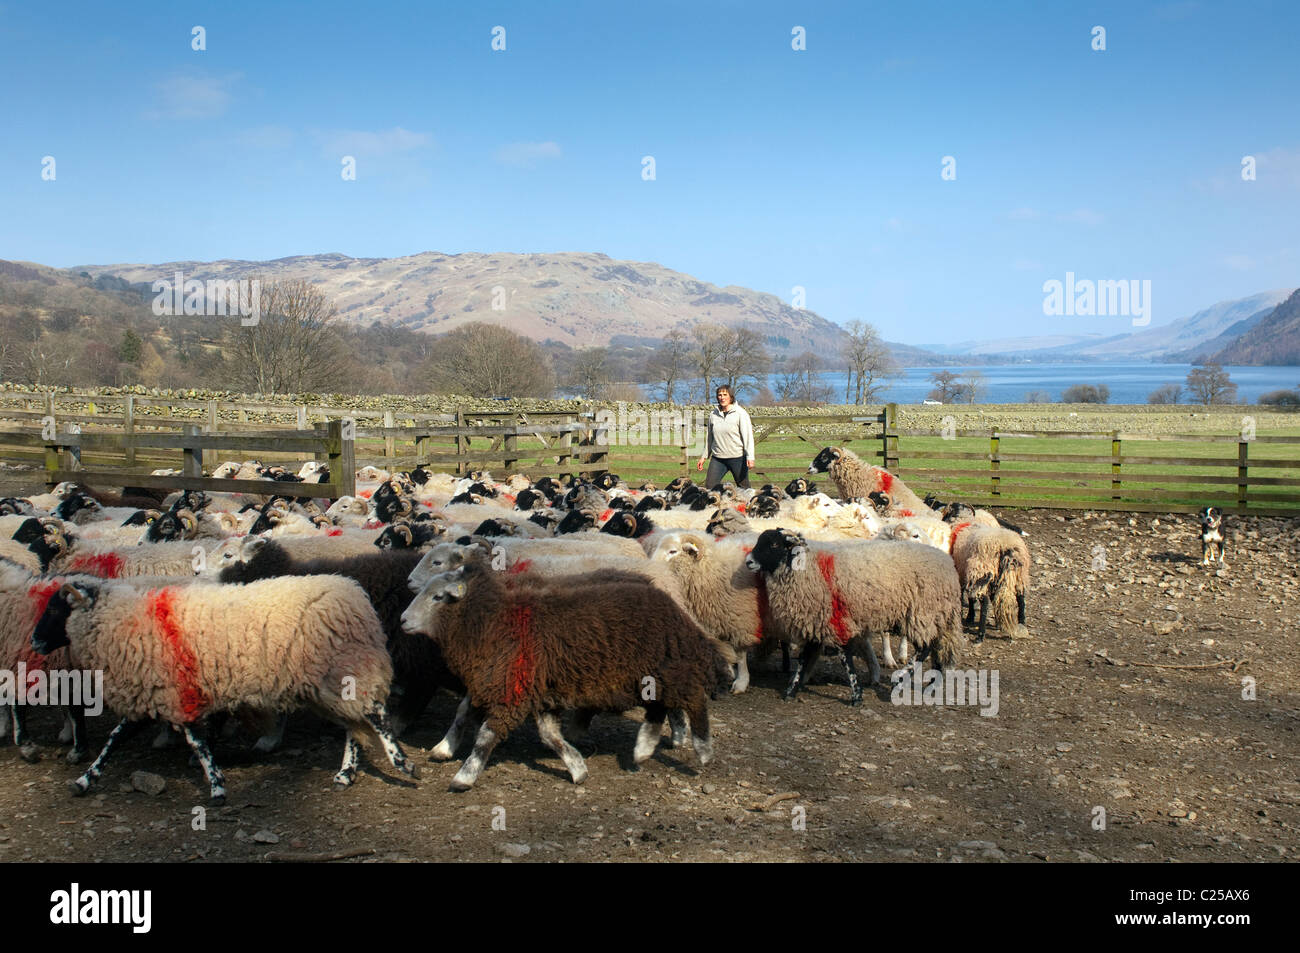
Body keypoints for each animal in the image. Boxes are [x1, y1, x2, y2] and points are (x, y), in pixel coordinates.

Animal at [31, 573, 420, 801]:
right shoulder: (156, 693)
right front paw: (86, 779)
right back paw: (345, 773)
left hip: (342, 671)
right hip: (331, 681)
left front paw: (216, 784)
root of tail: (355, 594)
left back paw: (402, 763)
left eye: (56, 610)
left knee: (374, 714)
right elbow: (115, 739)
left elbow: (196, 742)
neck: (124, 621)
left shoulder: (171, 694)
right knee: (355, 725)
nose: (34, 642)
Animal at [400, 561, 723, 790]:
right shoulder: (525, 688)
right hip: (652, 678)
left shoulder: (512, 692)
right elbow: (547, 735)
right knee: (658, 707)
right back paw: (643, 748)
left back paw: (703, 749)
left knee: (694, 700)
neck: (495, 623)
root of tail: (677, 612)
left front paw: (464, 776)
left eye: (438, 597)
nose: (402, 620)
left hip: (670, 671)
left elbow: (486, 736)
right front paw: (577, 767)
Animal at [745, 529, 963, 704]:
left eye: (774, 544)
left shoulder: (835, 620)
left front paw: (856, 695)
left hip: (922, 612)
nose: (748, 561)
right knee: (935, 649)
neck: (805, 567)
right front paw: (791, 690)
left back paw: (899, 680)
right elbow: (804, 658)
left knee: (924, 649)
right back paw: (932, 685)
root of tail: (948, 565)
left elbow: (845, 659)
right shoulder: (817, 621)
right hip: (933, 616)